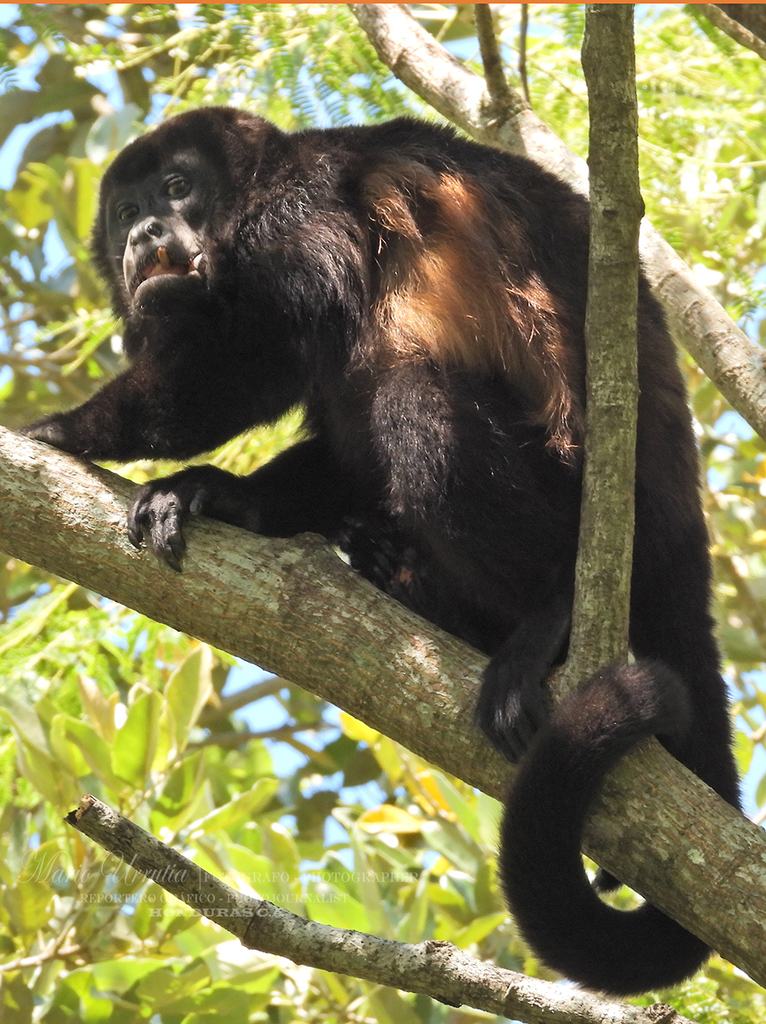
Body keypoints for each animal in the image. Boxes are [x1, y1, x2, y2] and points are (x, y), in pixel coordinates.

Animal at [21, 106, 740, 994]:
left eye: (177, 186)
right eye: (124, 212)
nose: (145, 230)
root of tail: (681, 524)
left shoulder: (296, 222)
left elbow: (241, 367)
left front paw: (62, 428)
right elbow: (327, 428)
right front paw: (207, 491)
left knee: (407, 398)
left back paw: (550, 617)